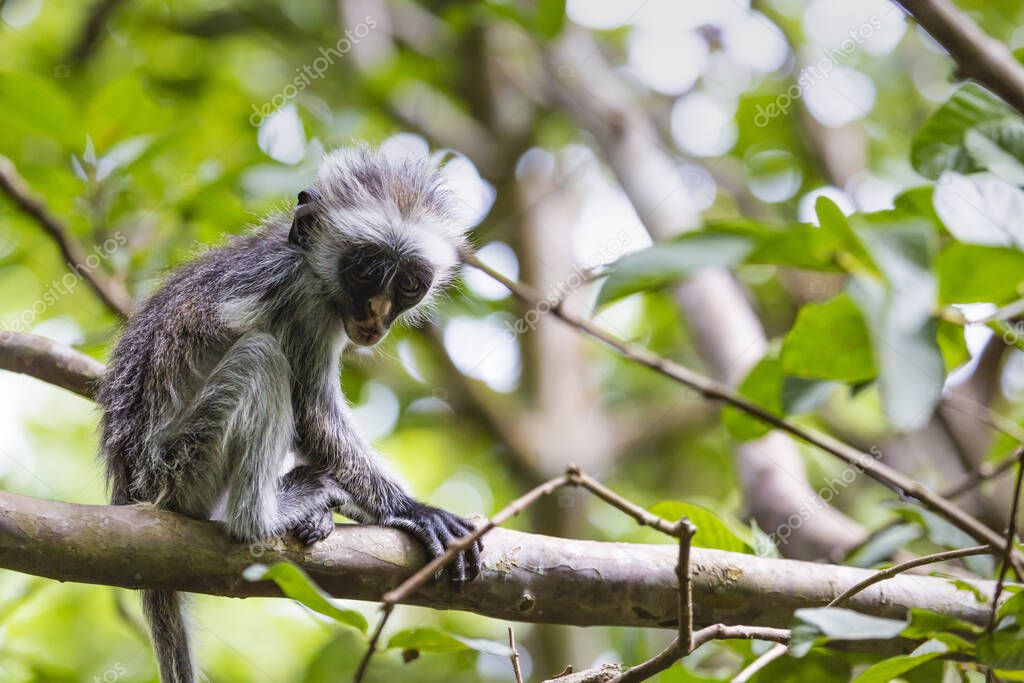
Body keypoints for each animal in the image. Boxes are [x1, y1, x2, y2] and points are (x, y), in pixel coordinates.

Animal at [97, 146, 483, 683]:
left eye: (408, 282)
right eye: (365, 270)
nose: (377, 312)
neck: (305, 261)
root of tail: (128, 485)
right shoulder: (301, 300)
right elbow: (312, 415)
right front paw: (410, 508)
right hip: (179, 466)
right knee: (262, 357)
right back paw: (264, 516)